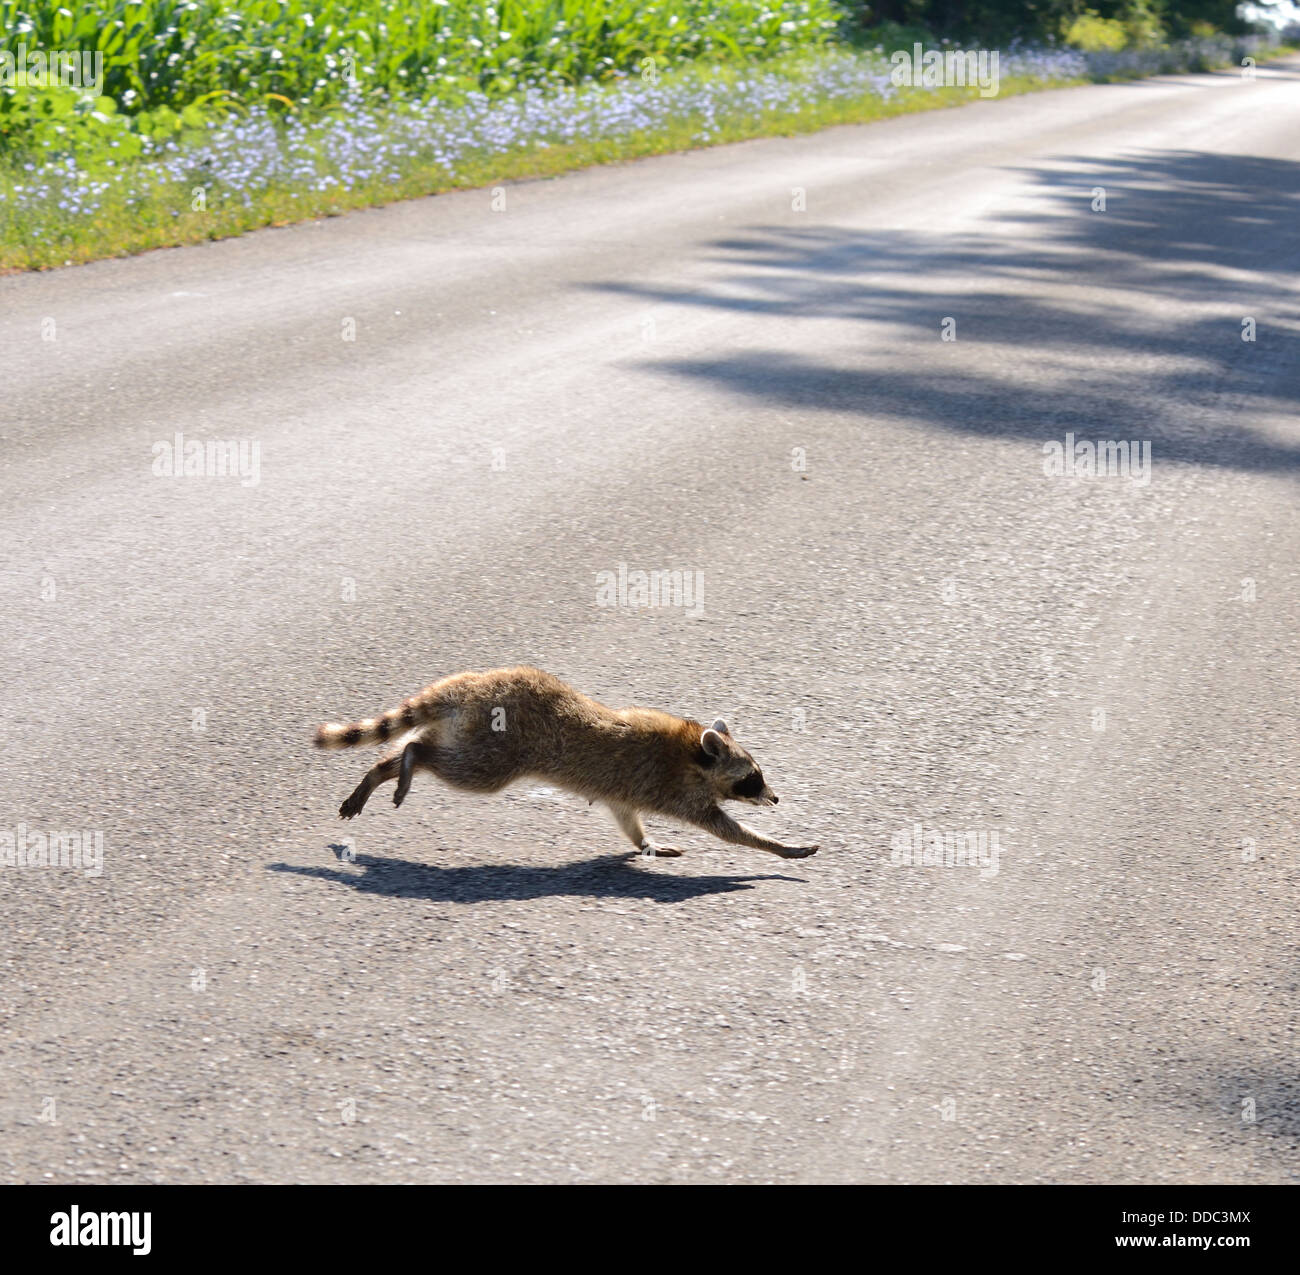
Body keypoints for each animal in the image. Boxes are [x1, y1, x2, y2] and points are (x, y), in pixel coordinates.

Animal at [315, 666, 818, 859]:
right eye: (752, 779)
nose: (775, 798)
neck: (693, 748)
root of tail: (472, 684)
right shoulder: (675, 788)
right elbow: (725, 828)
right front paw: (778, 845)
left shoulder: (624, 791)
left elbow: (626, 818)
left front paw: (646, 844)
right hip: (497, 749)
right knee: (447, 761)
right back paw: (407, 763)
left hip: (471, 732)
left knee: (423, 745)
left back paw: (386, 768)